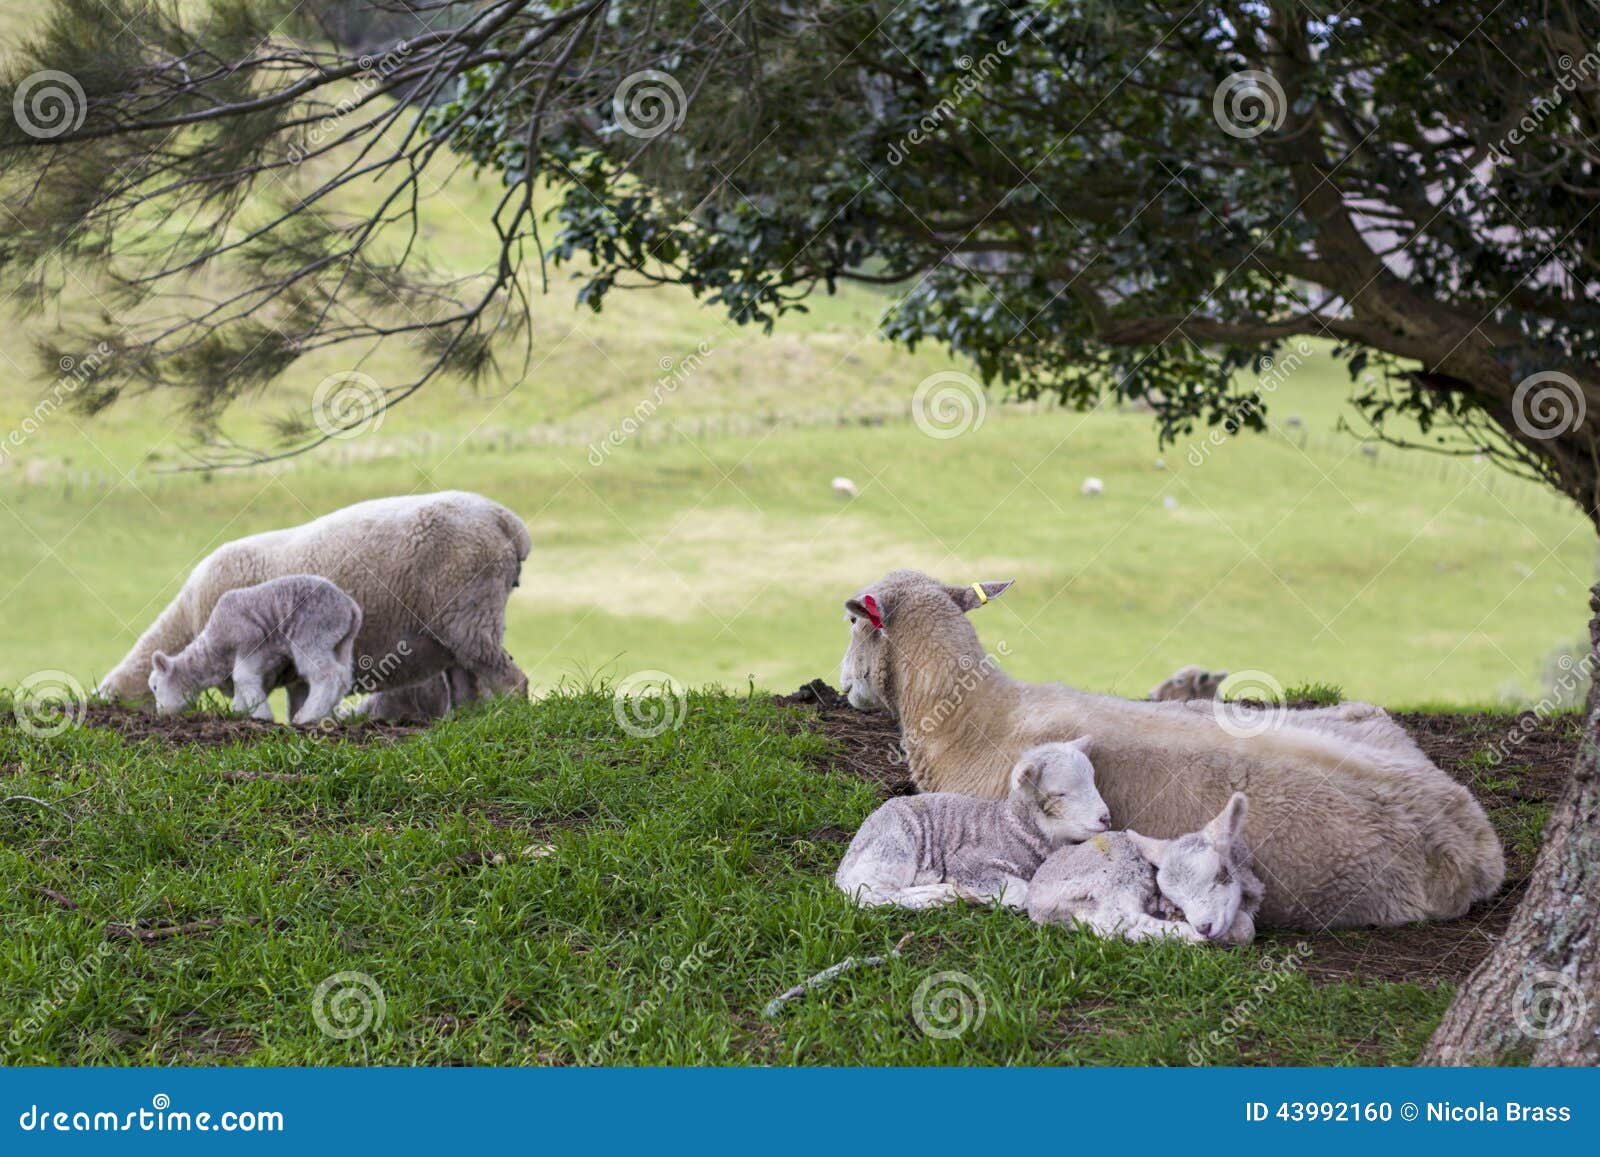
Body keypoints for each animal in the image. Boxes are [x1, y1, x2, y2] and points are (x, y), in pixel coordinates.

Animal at [100, 491, 531, 706]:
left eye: (155, 689)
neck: (190, 621)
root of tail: (506, 522)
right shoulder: (291, 671)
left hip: (467, 607)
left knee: (512, 681)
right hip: (455, 627)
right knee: (468, 687)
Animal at [148, 575, 361, 725]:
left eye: (156, 687)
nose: (161, 714)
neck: (214, 651)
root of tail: (350, 607)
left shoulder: (250, 641)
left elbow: (242, 677)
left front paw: (260, 715)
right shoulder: (265, 653)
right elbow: (244, 681)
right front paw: (240, 711)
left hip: (312, 635)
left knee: (327, 675)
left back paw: (308, 716)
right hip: (340, 642)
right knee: (343, 676)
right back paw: (326, 714)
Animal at [834, 737, 1109, 911]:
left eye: (1093, 782)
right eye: (1061, 793)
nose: (1106, 818)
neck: (1012, 827)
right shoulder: (968, 862)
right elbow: (1022, 892)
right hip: (893, 846)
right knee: (867, 893)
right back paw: (938, 896)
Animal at [1027, 793, 1263, 944]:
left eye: (1220, 876)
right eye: (1178, 898)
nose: (1204, 928)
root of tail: (1035, 899)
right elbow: (1246, 927)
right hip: (1118, 875)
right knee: (1117, 923)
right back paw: (1187, 935)